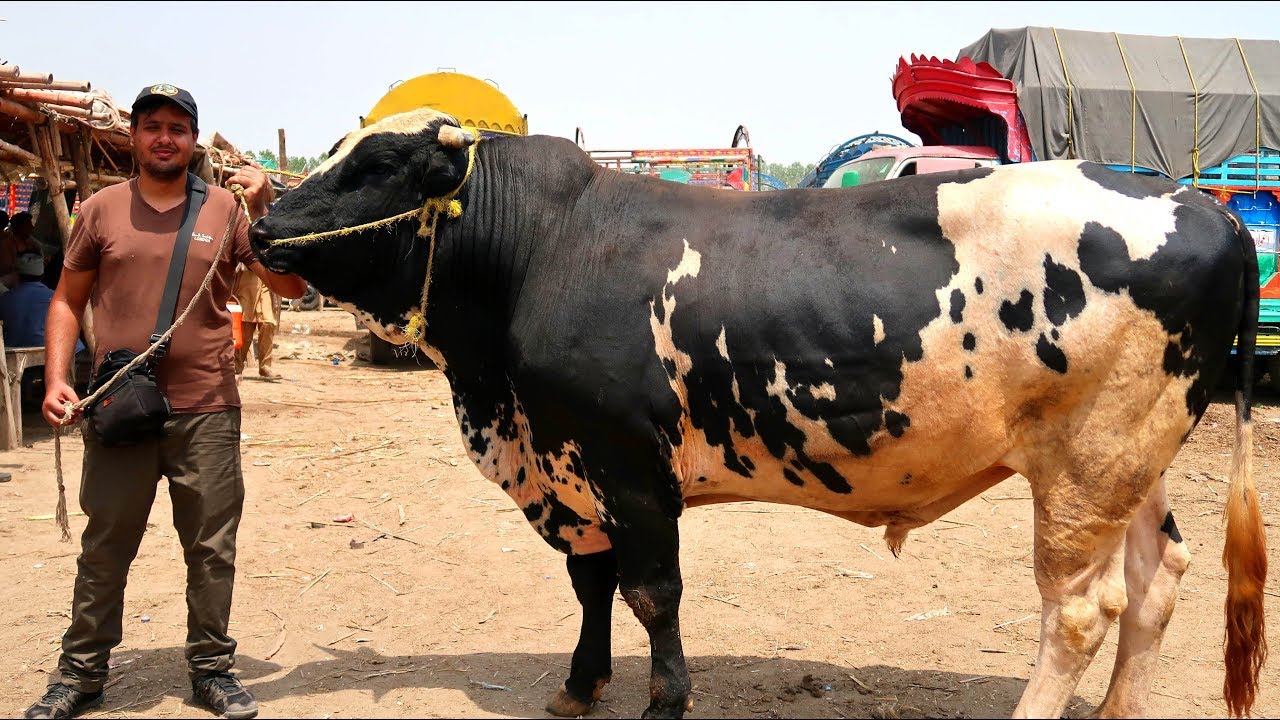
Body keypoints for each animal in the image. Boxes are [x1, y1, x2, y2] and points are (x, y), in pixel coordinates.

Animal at [249, 108, 1267, 719]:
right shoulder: (568, 469)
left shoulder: (627, 466)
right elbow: (590, 585)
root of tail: (1200, 203)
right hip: (1133, 458)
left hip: (1084, 465)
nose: (260, 224)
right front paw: (581, 684)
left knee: (1081, 611)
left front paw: (665, 698)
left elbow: (651, 593)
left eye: (378, 163)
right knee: (1157, 579)